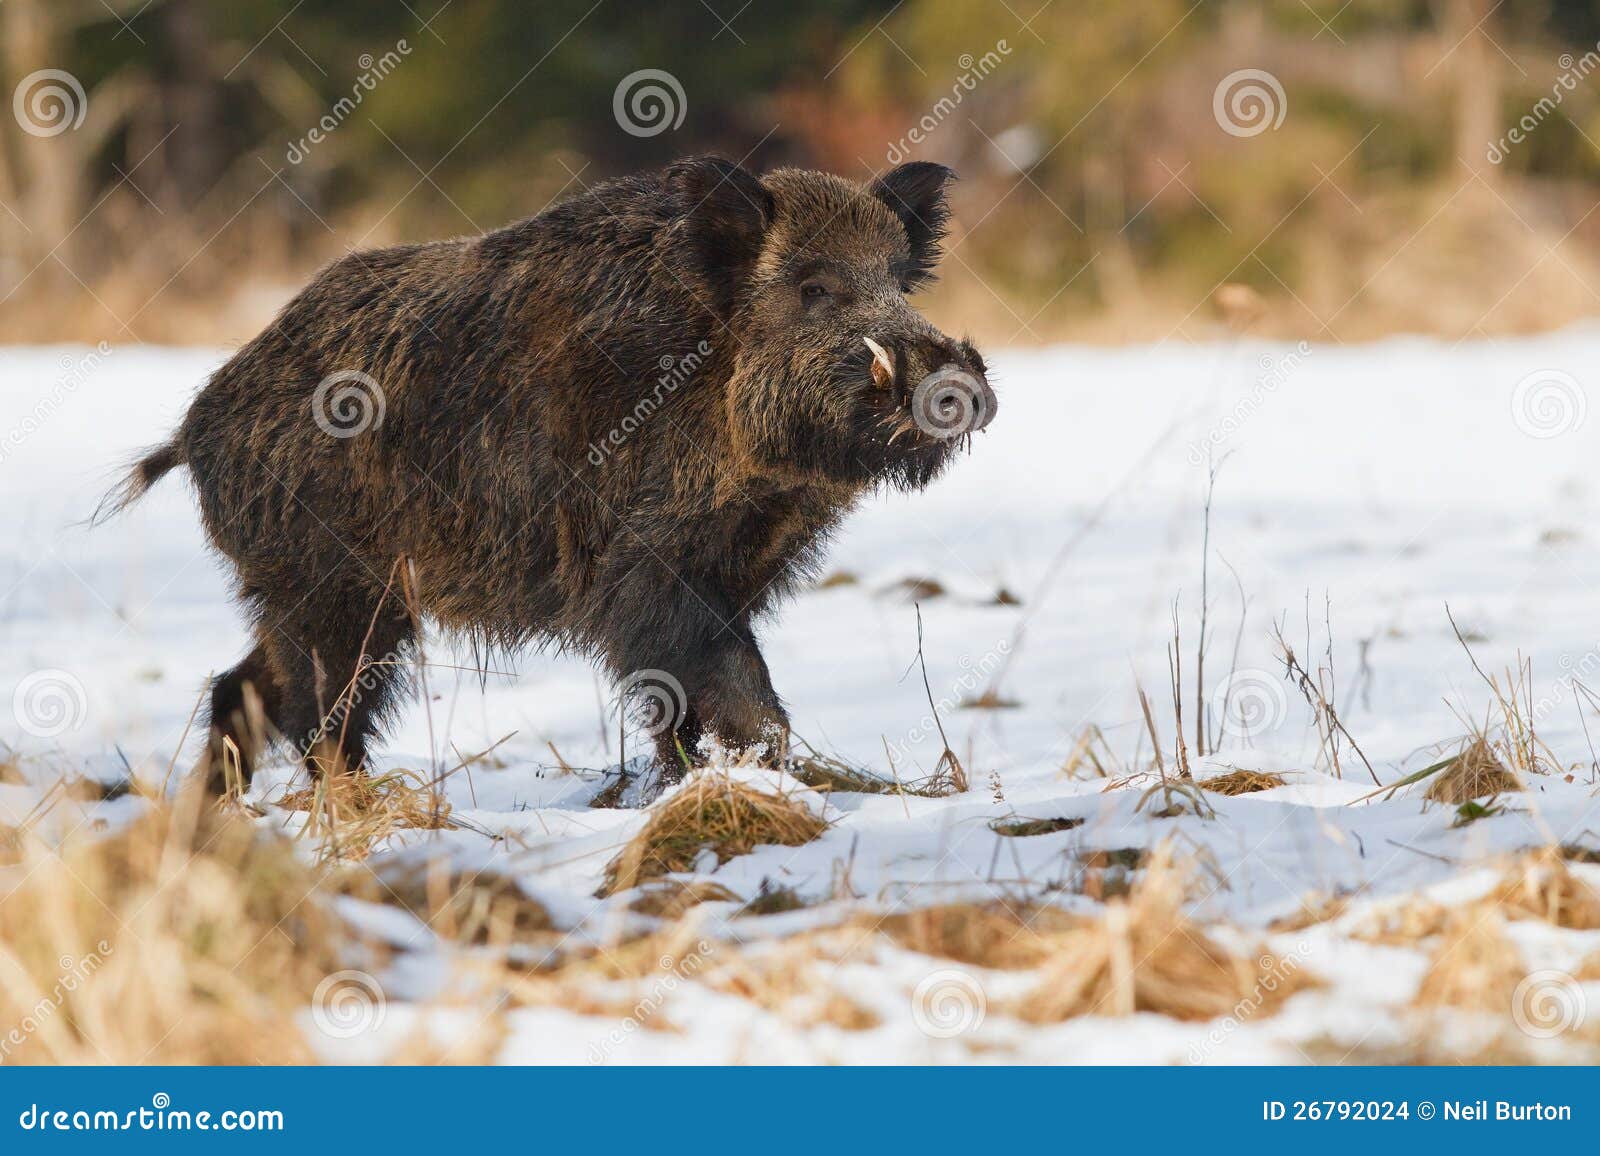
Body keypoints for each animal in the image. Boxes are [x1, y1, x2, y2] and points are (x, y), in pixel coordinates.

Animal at [104, 155, 995, 789]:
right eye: (814, 287)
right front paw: (753, 775)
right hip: (337, 587)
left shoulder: (746, 565)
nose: (957, 386)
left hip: (306, 591)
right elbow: (724, 683)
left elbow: (691, 697)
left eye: (899, 284)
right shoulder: (646, 566)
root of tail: (197, 424)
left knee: (240, 688)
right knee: (314, 710)